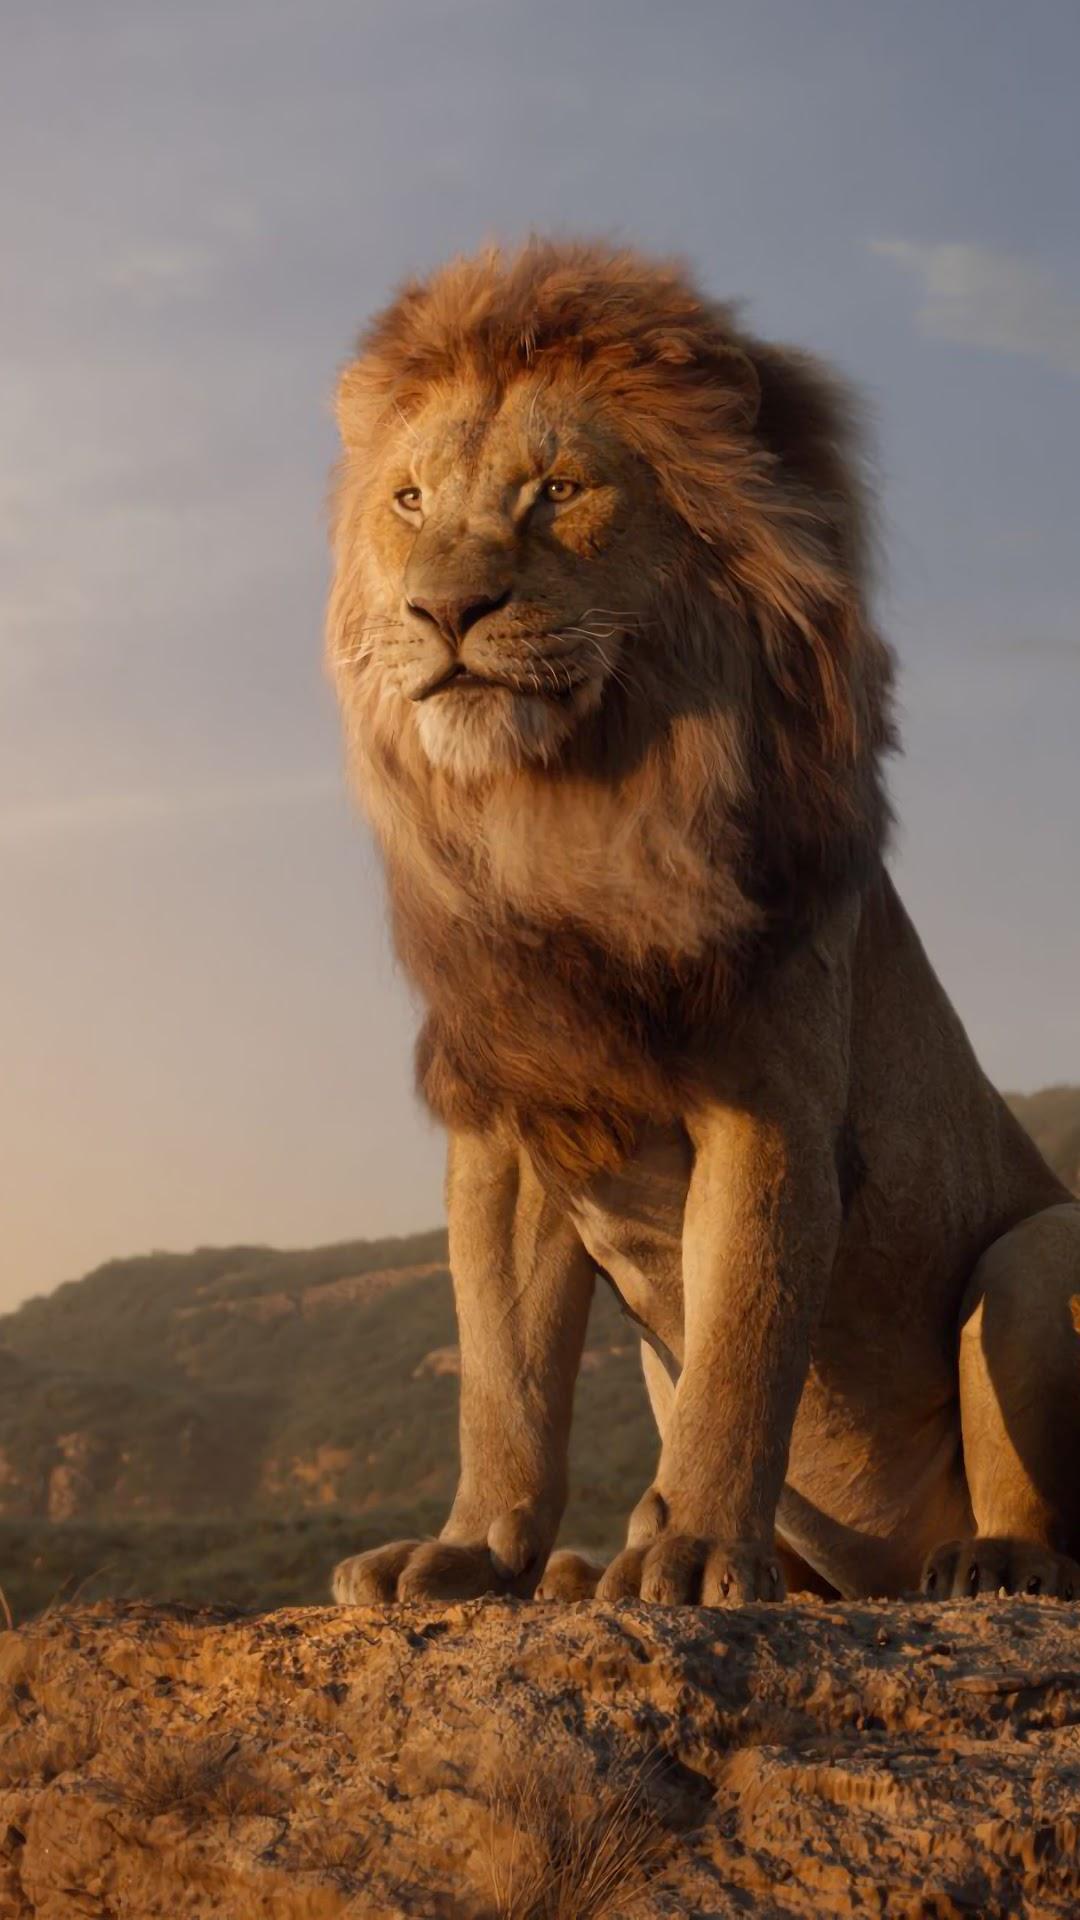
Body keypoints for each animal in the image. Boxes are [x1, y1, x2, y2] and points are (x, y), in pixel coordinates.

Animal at [325, 239, 1080, 1607]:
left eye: (560, 490)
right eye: (409, 501)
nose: (443, 611)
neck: (566, 814)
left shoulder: (768, 1109)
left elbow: (740, 1352)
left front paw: (687, 1555)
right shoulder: (510, 1130)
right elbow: (503, 1382)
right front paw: (470, 1553)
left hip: (1041, 1250)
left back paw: (987, 1563)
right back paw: (581, 1572)